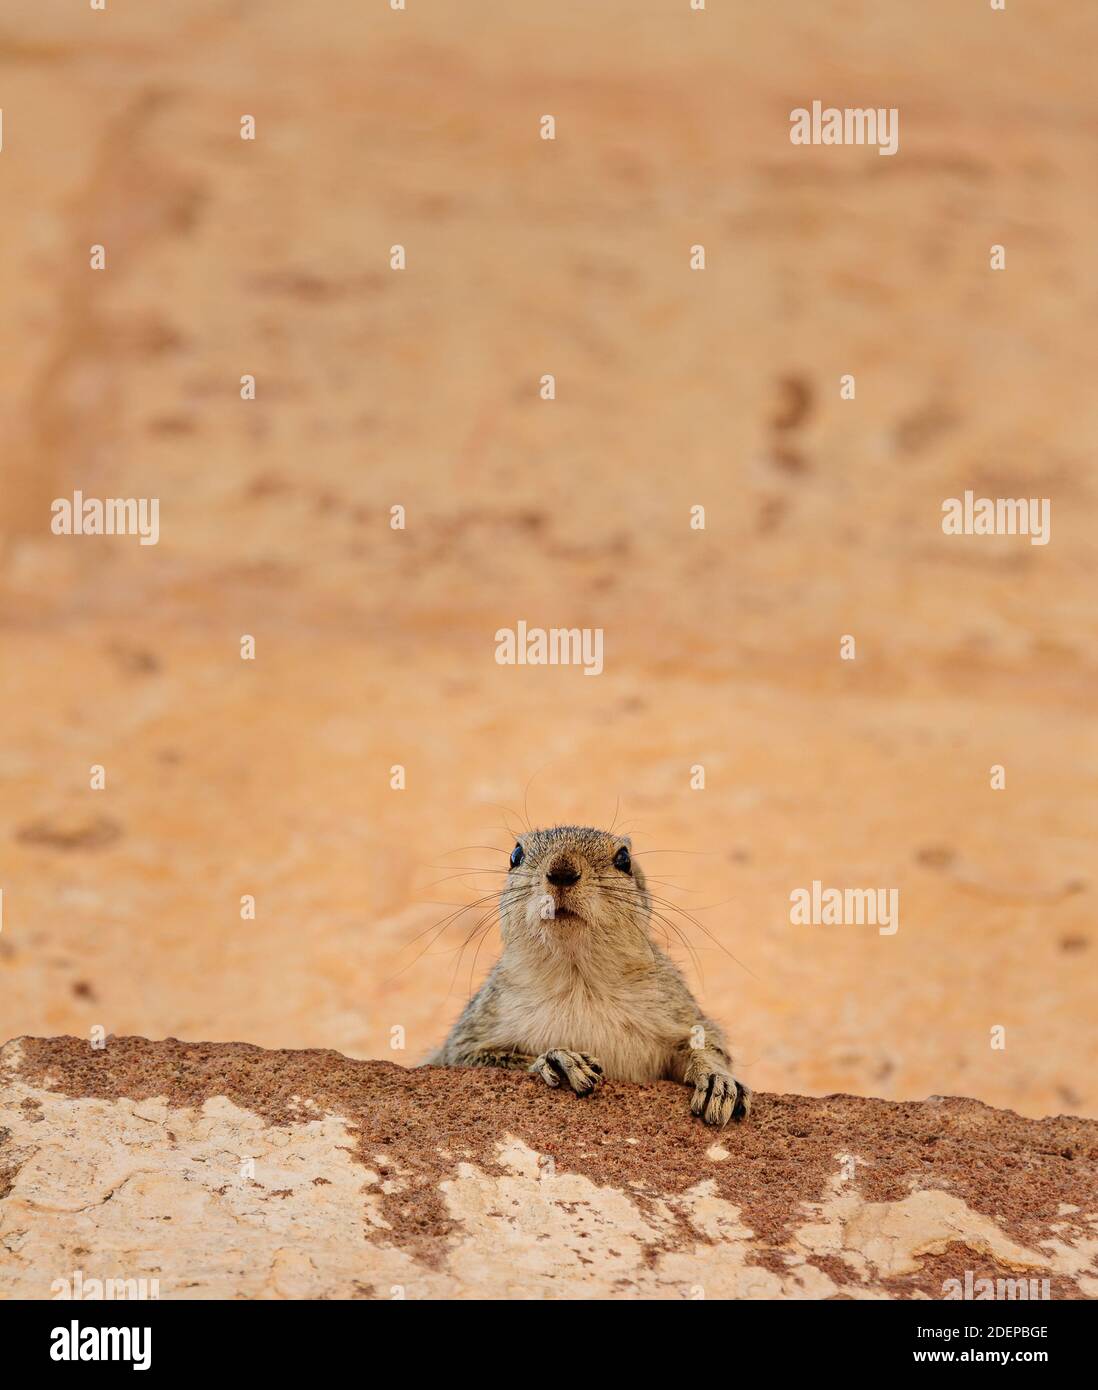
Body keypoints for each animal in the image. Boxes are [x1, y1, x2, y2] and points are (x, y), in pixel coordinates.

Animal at [426, 825, 750, 1127]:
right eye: (515, 856)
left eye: (624, 859)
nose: (562, 870)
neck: (578, 978)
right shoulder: (472, 1032)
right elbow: (472, 1058)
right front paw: (558, 1059)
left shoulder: (674, 1007)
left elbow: (704, 1041)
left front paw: (717, 1079)